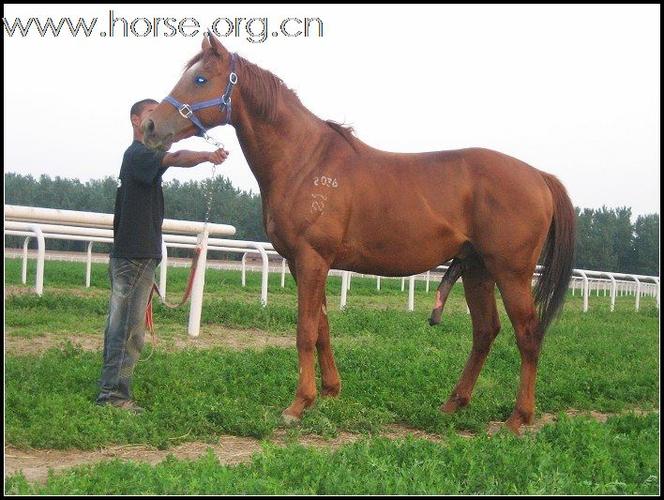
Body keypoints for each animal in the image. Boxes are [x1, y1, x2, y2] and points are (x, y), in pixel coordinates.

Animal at [143, 32, 576, 434]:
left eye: (200, 78)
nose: (150, 125)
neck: (306, 161)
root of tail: (539, 176)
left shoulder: (312, 258)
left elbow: (304, 330)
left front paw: (297, 405)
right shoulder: (302, 264)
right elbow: (322, 327)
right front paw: (329, 392)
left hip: (510, 272)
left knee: (528, 334)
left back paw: (518, 419)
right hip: (477, 269)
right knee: (485, 331)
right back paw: (453, 404)